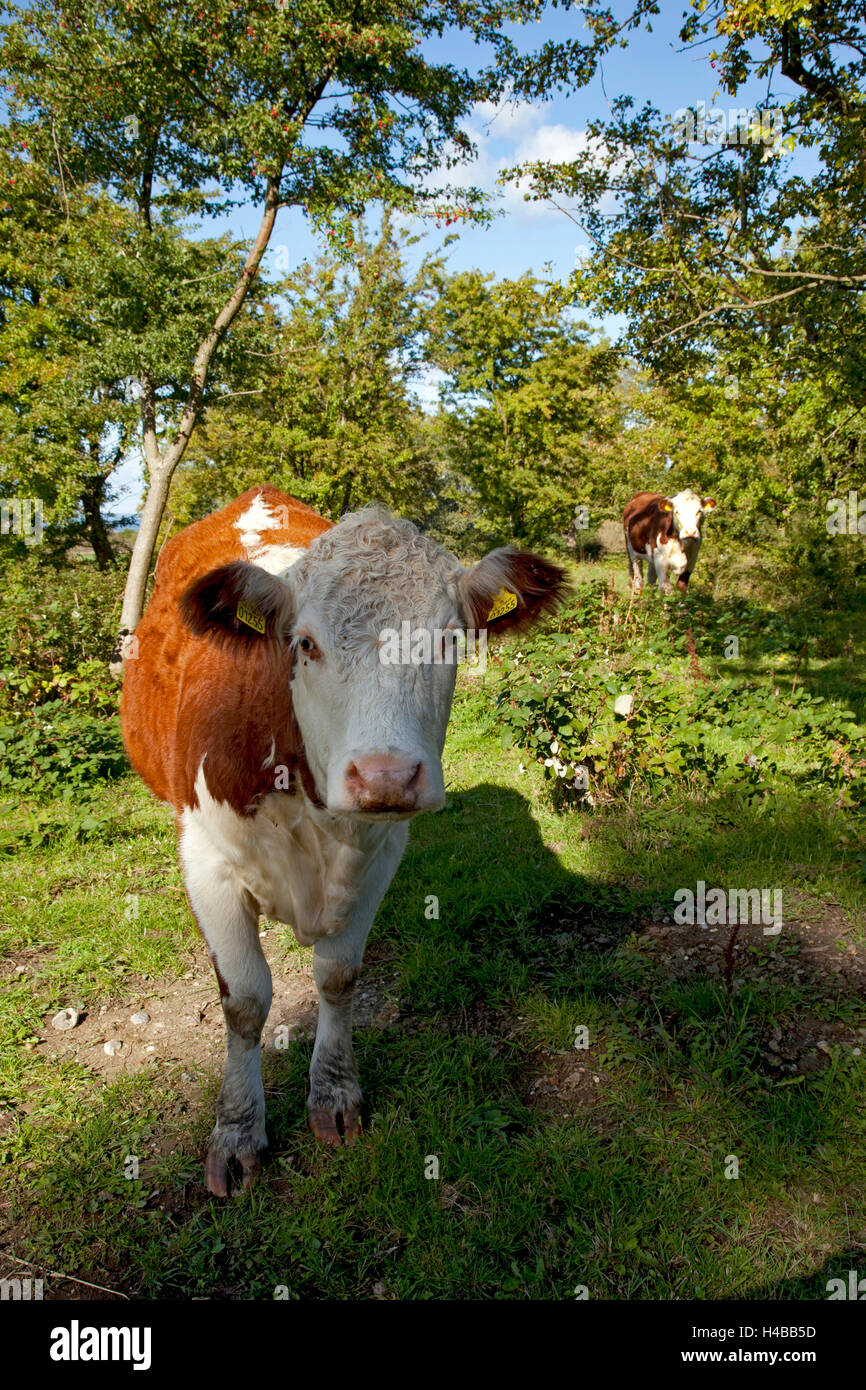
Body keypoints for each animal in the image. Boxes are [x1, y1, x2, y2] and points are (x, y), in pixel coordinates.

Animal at [121, 486, 565, 1195]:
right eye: (303, 643)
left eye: (450, 639)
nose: (386, 775)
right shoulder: (207, 862)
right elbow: (245, 1000)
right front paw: (237, 1131)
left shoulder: (382, 853)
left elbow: (338, 975)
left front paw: (333, 1095)